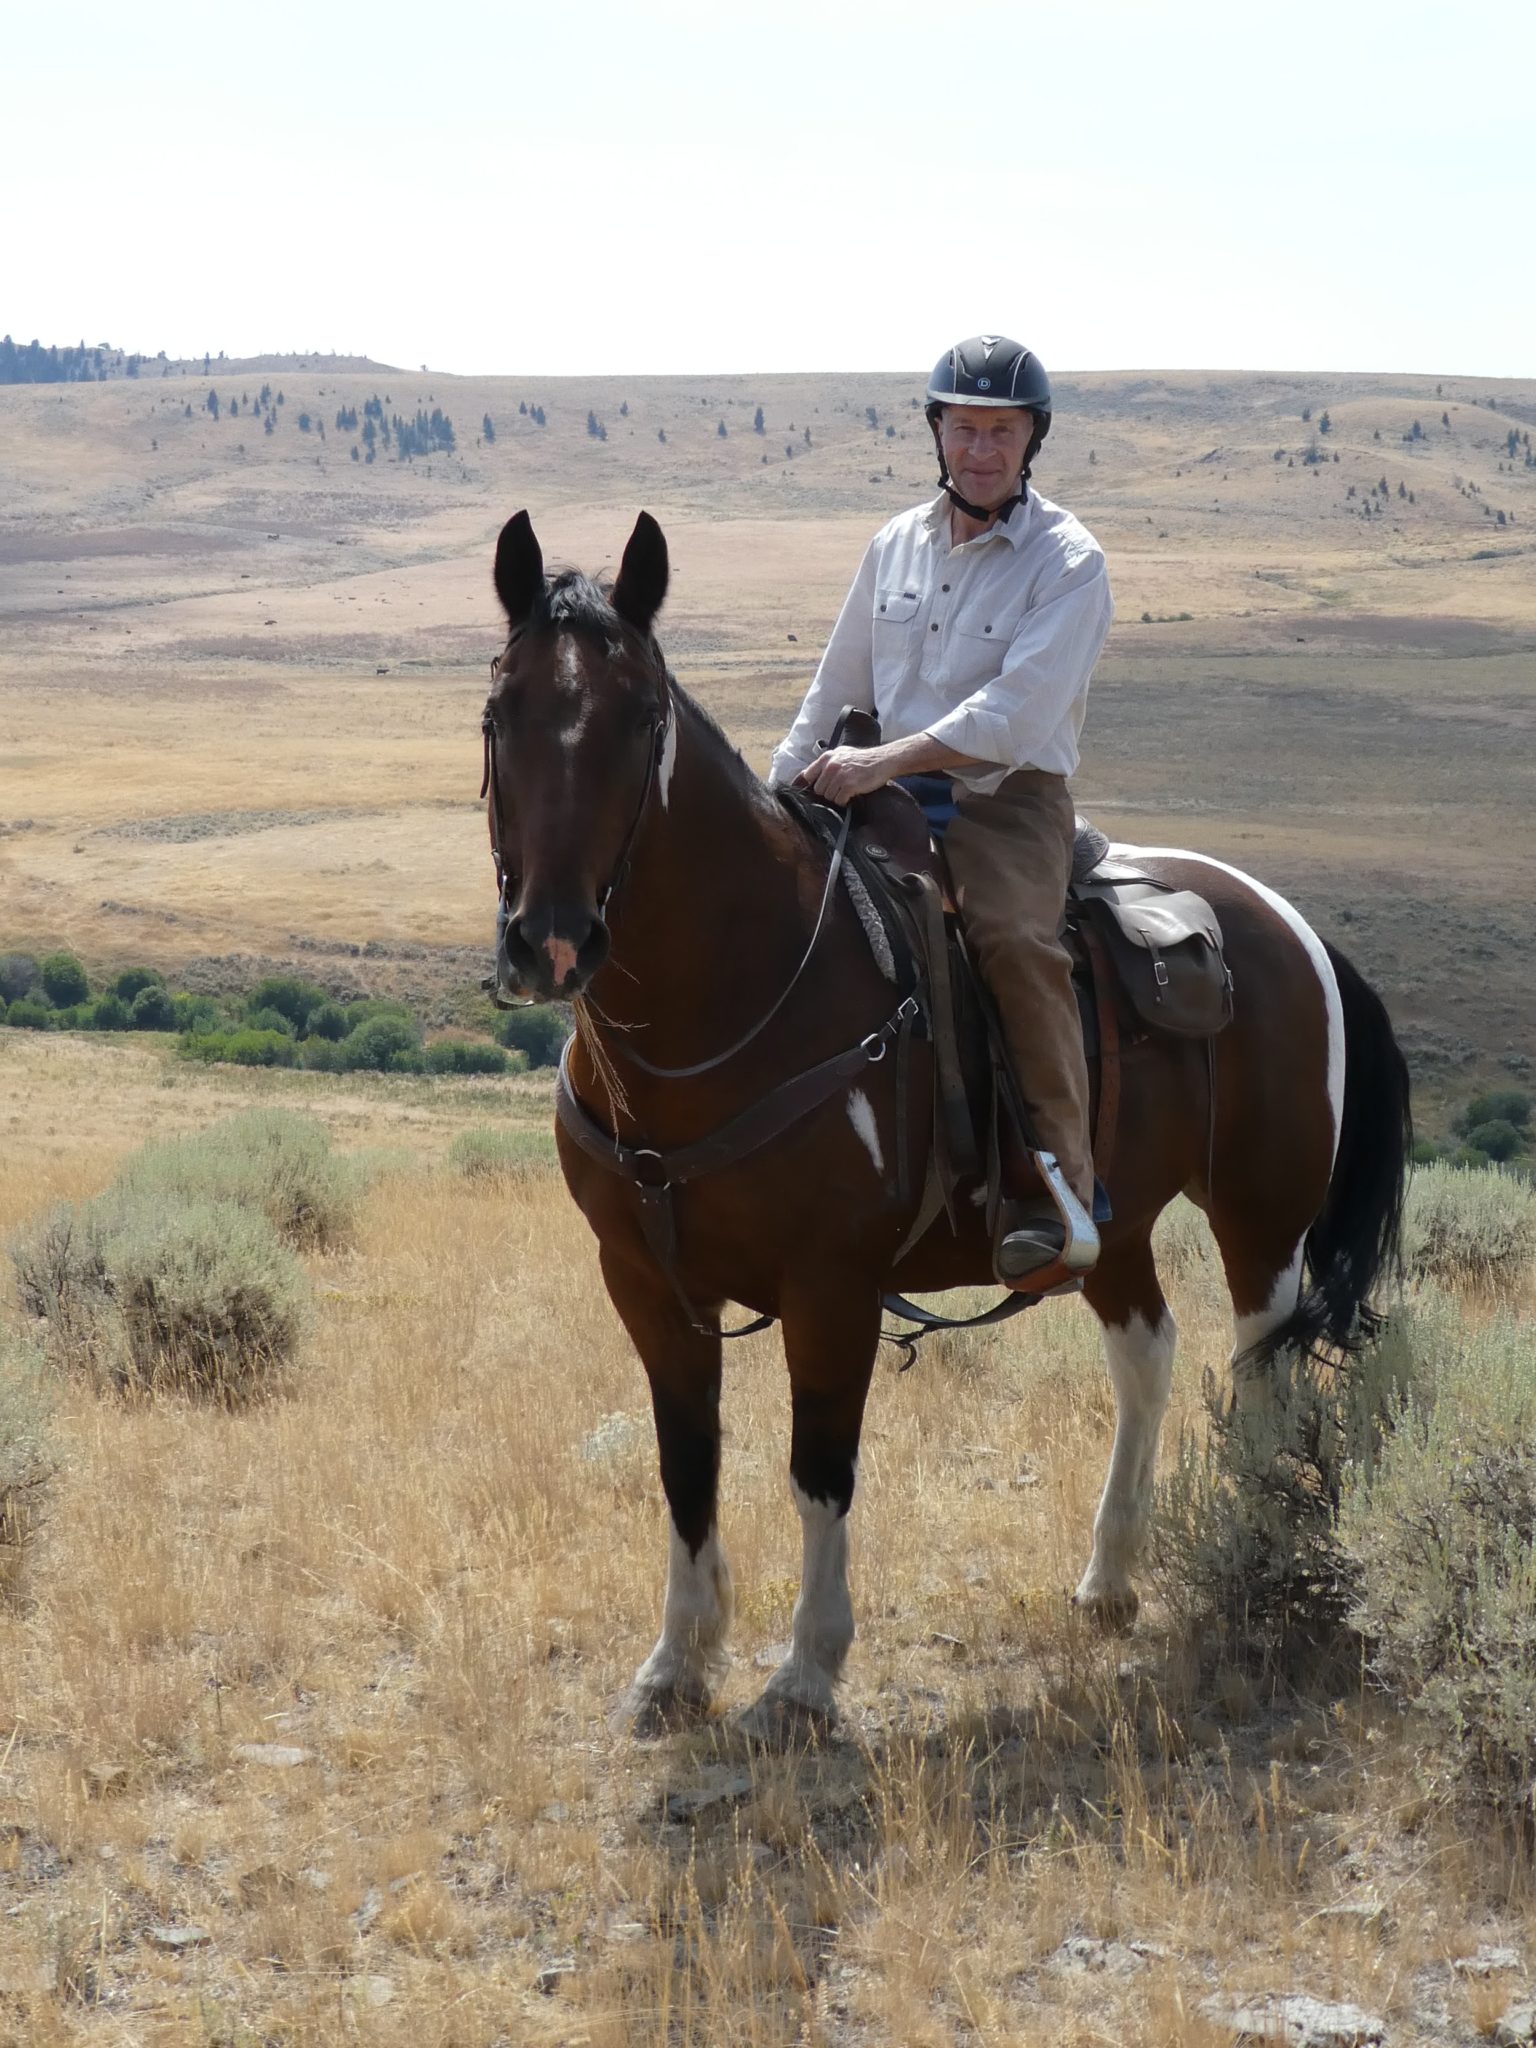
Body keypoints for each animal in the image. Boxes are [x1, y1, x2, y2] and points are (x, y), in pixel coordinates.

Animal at [483, 508, 1412, 1739]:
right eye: (500, 711)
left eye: (640, 718)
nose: (548, 939)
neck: (731, 997)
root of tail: (1293, 925)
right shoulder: (644, 1283)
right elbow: (687, 1467)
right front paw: (675, 1664)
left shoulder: (831, 1286)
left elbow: (819, 1467)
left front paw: (804, 1673)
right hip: (1111, 1222)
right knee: (1148, 1351)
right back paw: (1111, 1578)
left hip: (1262, 1222)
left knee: (1261, 1372)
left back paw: (1248, 1562)